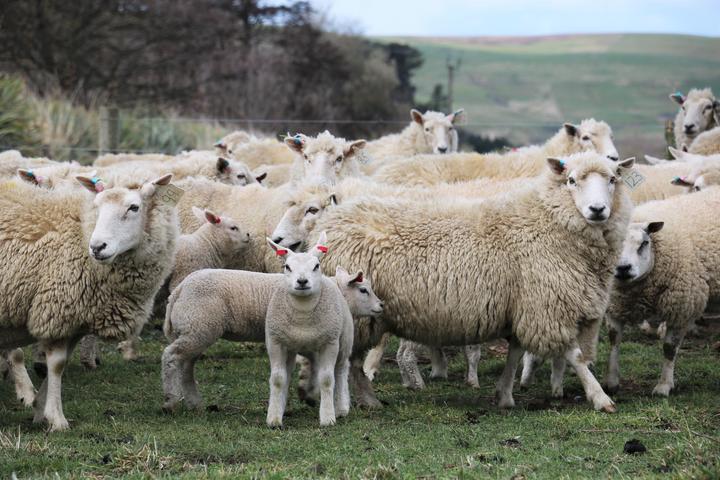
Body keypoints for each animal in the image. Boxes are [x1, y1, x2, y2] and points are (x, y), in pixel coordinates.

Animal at [0, 173, 178, 430]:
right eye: (97, 206)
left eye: (134, 207)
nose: (97, 247)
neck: (82, 231)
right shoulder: (56, 311)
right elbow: (57, 365)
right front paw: (57, 419)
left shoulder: (75, 321)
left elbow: (61, 364)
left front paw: (40, 410)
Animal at [264, 233, 353, 427]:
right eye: (287, 267)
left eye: (316, 266)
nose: (302, 281)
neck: (303, 315)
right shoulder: (275, 342)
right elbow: (278, 379)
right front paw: (274, 417)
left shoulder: (330, 342)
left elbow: (327, 379)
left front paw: (328, 417)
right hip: (294, 348)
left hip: (344, 340)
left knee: (341, 369)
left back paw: (341, 407)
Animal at [298, 152, 634, 412]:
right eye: (572, 180)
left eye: (613, 180)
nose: (597, 210)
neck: (547, 221)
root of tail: (327, 226)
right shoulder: (547, 308)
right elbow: (576, 357)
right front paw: (601, 398)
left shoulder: (521, 306)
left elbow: (514, 353)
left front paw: (504, 394)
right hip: (357, 313)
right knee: (351, 361)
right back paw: (361, 398)